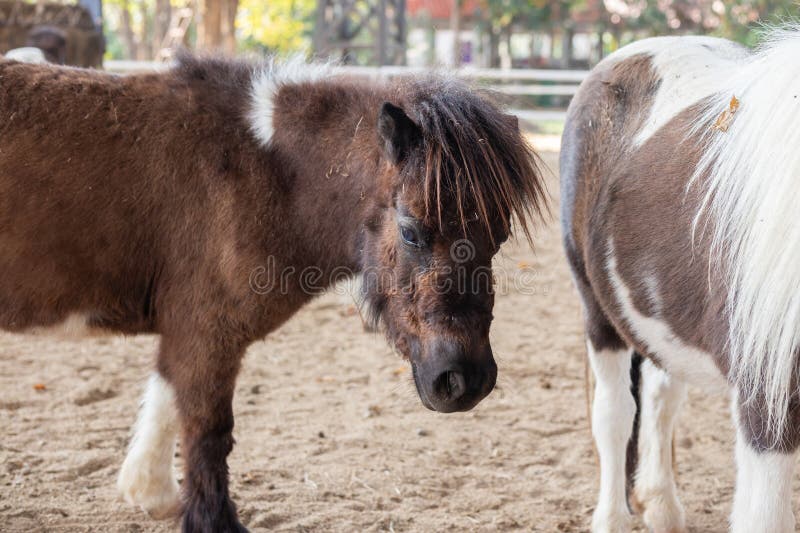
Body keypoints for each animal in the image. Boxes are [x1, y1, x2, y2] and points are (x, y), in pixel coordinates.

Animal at [0, 53, 545, 531]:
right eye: (411, 231)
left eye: (499, 237)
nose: (464, 382)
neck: (267, 173)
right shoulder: (208, 334)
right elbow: (207, 434)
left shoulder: (187, 333)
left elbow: (167, 405)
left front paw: (152, 493)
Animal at [561, 28, 800, 533]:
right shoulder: (768, 403)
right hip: (598, 313)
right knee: (614, 414)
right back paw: (613, 517)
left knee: (659, 396)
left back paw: (662, 505)